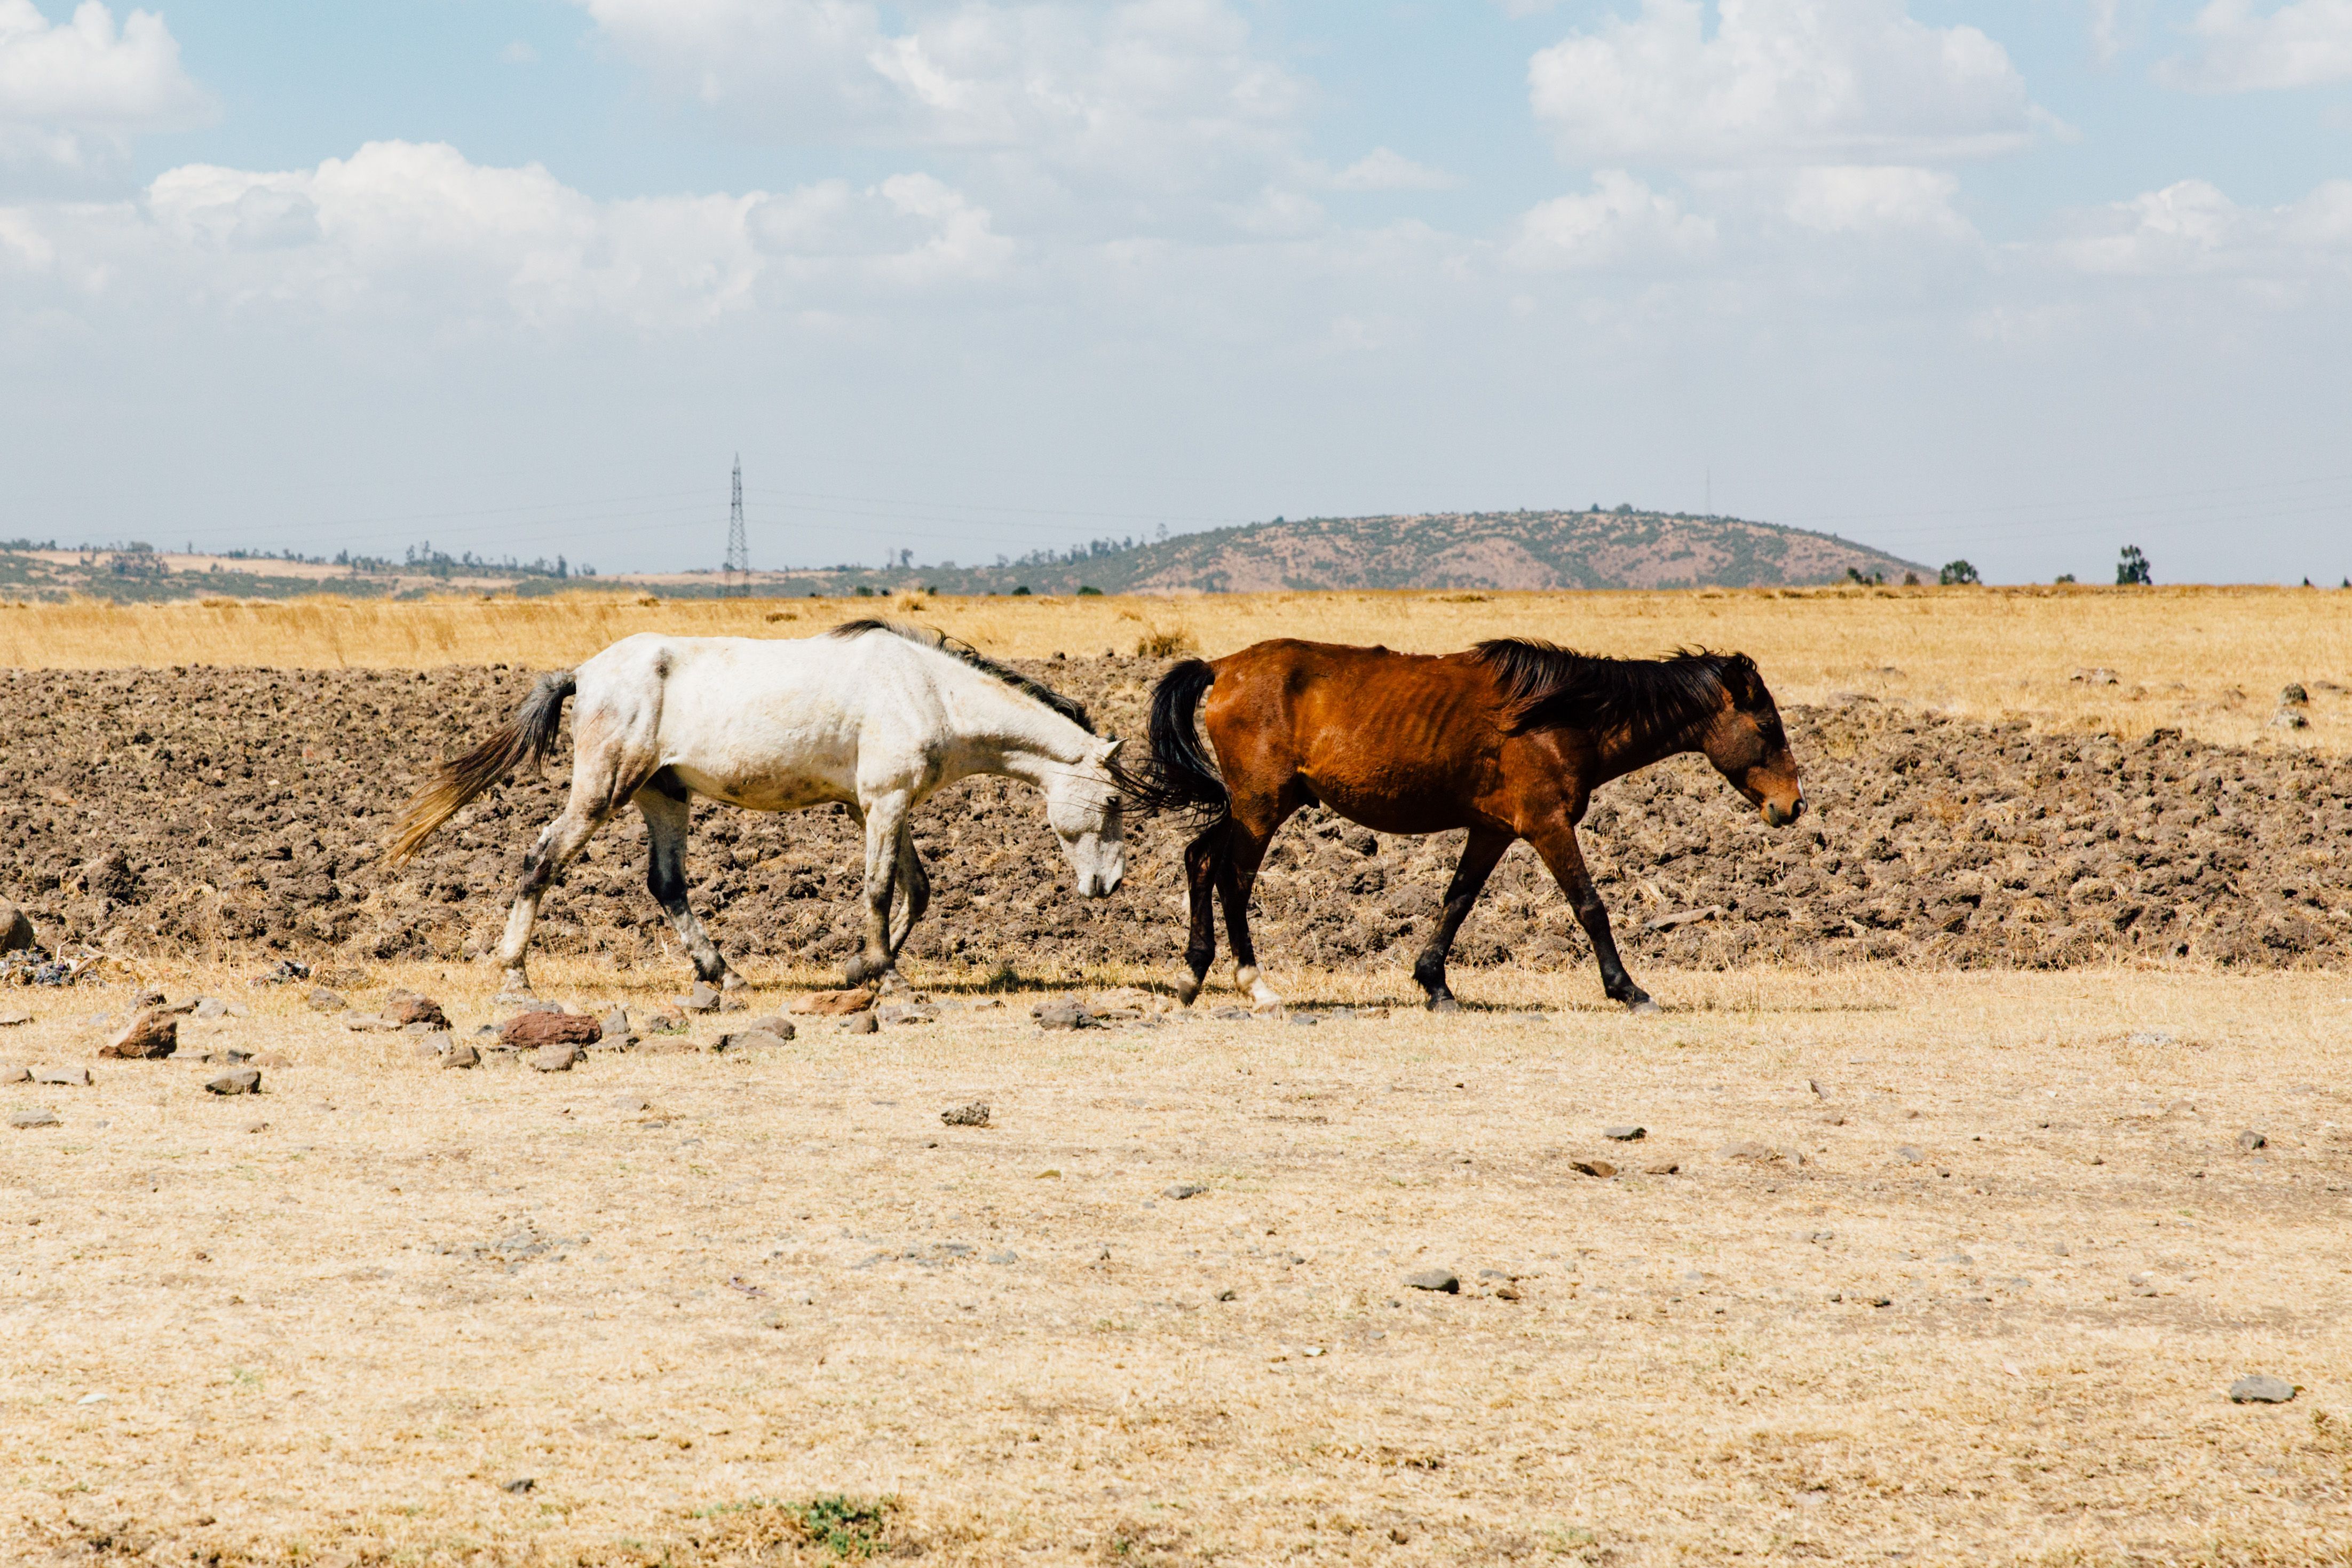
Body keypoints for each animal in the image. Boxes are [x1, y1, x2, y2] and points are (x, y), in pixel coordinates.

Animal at [388, 619, 1125, 997]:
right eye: (1116, 799)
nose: (1109, 884)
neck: (927, 689)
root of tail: (586, 672)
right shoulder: (884, 803)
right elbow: (882, 888)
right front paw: (884, 975)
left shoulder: (878, 808)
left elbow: (917, 889)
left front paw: (863, 966)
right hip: (604, 791)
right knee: (540, 857)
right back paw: (515, 973)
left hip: (663, 795)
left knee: (667, 885)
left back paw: (722, 974)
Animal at [1121, 637, 1805, 1014]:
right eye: (1767, 725)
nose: (1792, 806)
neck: (1562, 717)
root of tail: (1223, 666)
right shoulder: (1548, 825)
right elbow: (1589, 904)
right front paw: (1629, 989)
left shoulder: (1493, 830)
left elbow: (1457, 901)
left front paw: (1435, 984)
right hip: (1260, 808)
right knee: (1231, 879)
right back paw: (1252, 984)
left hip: (1257, 806)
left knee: (1198, 859)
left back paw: (1193, 975)